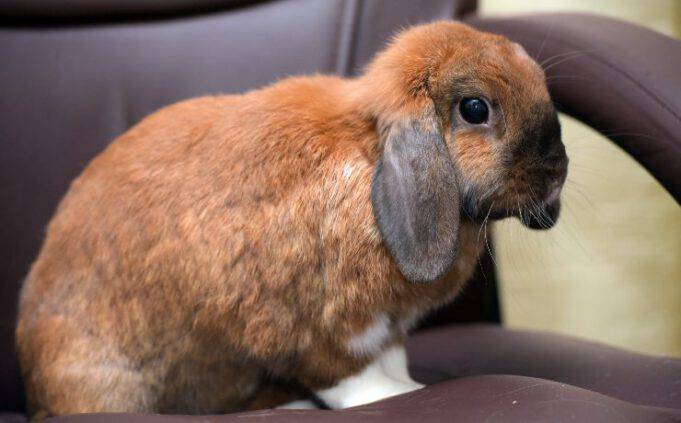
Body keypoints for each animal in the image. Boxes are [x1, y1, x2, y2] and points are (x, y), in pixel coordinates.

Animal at [16, 20, 568, 418]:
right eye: (475, 109)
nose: (558, 169)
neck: (368, 157)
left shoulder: (387, 326)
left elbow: (391, 354)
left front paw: (408, 383)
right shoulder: (312, 327)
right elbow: (349, 376)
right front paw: (393, 396)